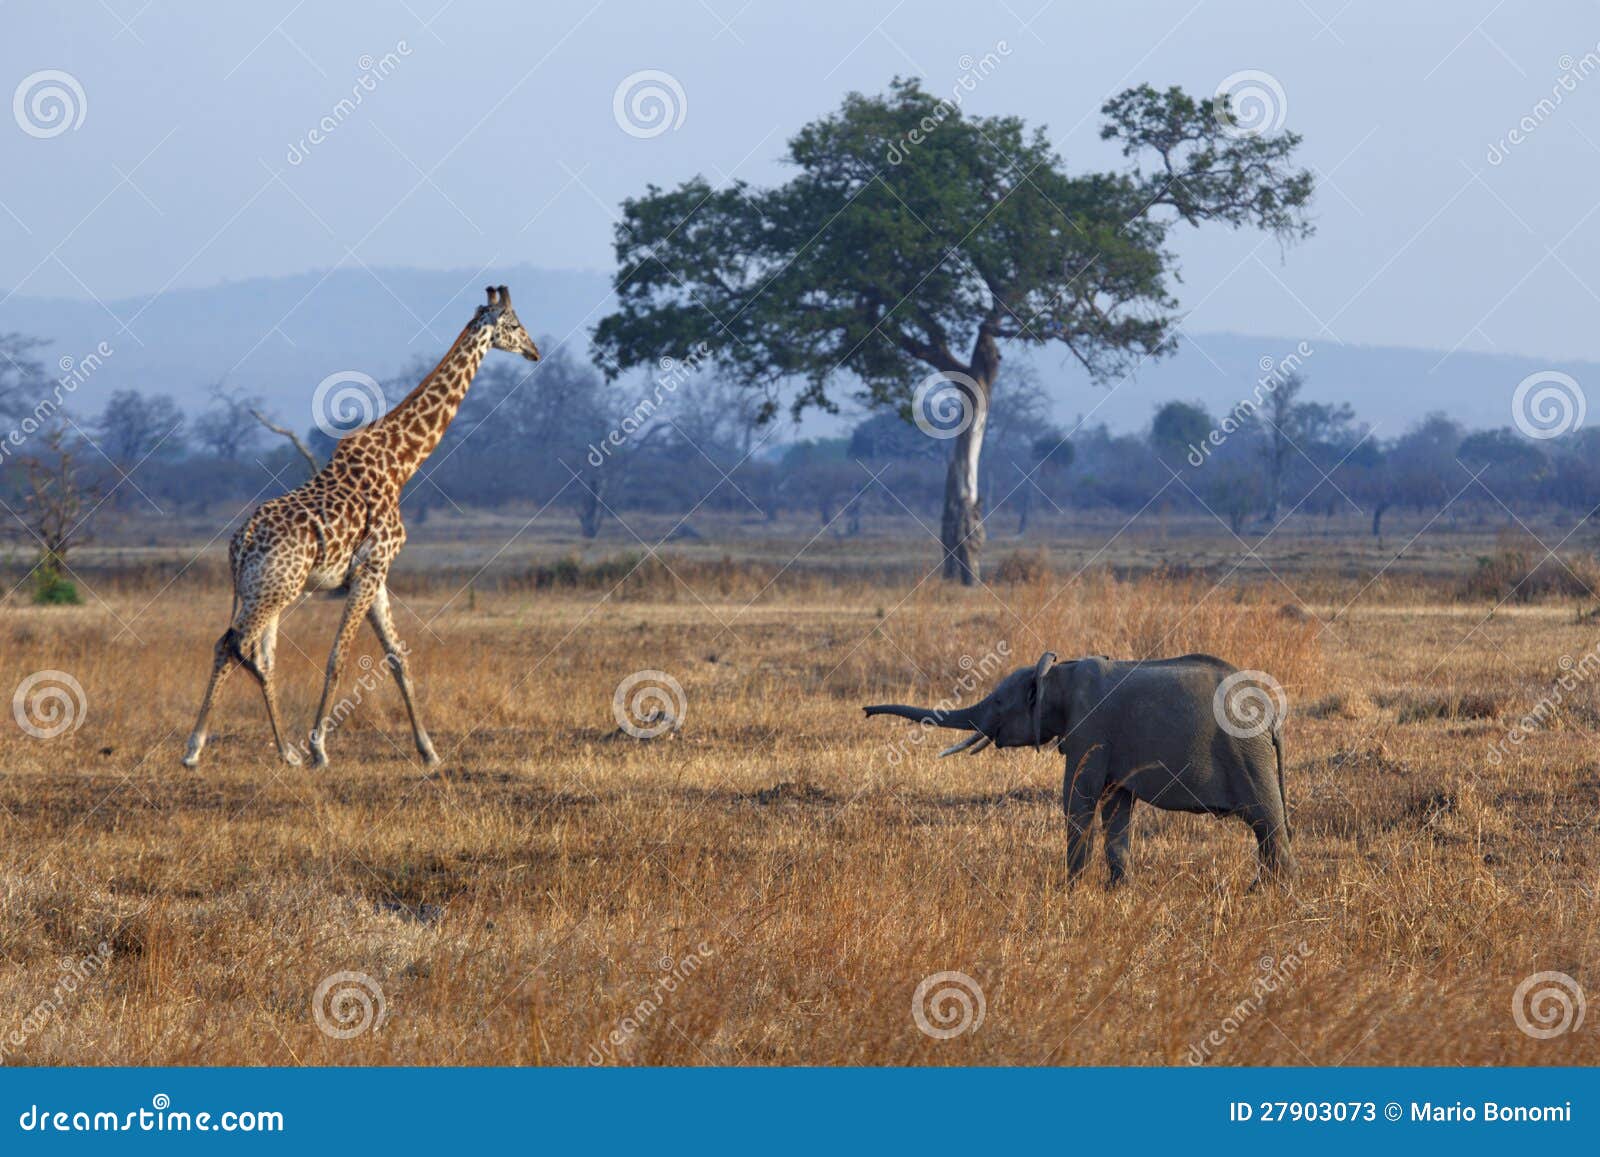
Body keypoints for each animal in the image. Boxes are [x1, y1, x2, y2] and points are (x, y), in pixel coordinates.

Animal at [182, 286, 541, 769]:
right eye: (516, 324)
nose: (535, 351)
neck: (402, 461)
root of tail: (239, 544)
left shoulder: (375, 575)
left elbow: (397, 656)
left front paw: (428, 751)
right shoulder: (370, 569)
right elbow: (339, 657)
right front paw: (320, 748)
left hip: (267, 590)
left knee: (258, 655)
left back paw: (285, 752)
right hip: (275, 589)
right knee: (229, 645)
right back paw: (196, 748)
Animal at [863, 651, 1291, 887]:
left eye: (999, 702)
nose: (866, 710)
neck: (1059, 674)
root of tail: (1272, 718)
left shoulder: (1090, 728)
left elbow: (1078, 798)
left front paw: (1067, 889)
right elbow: (1116, 805)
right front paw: (1117, 891)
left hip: (1246, 754)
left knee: (1266, 822)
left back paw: (1269, 893)